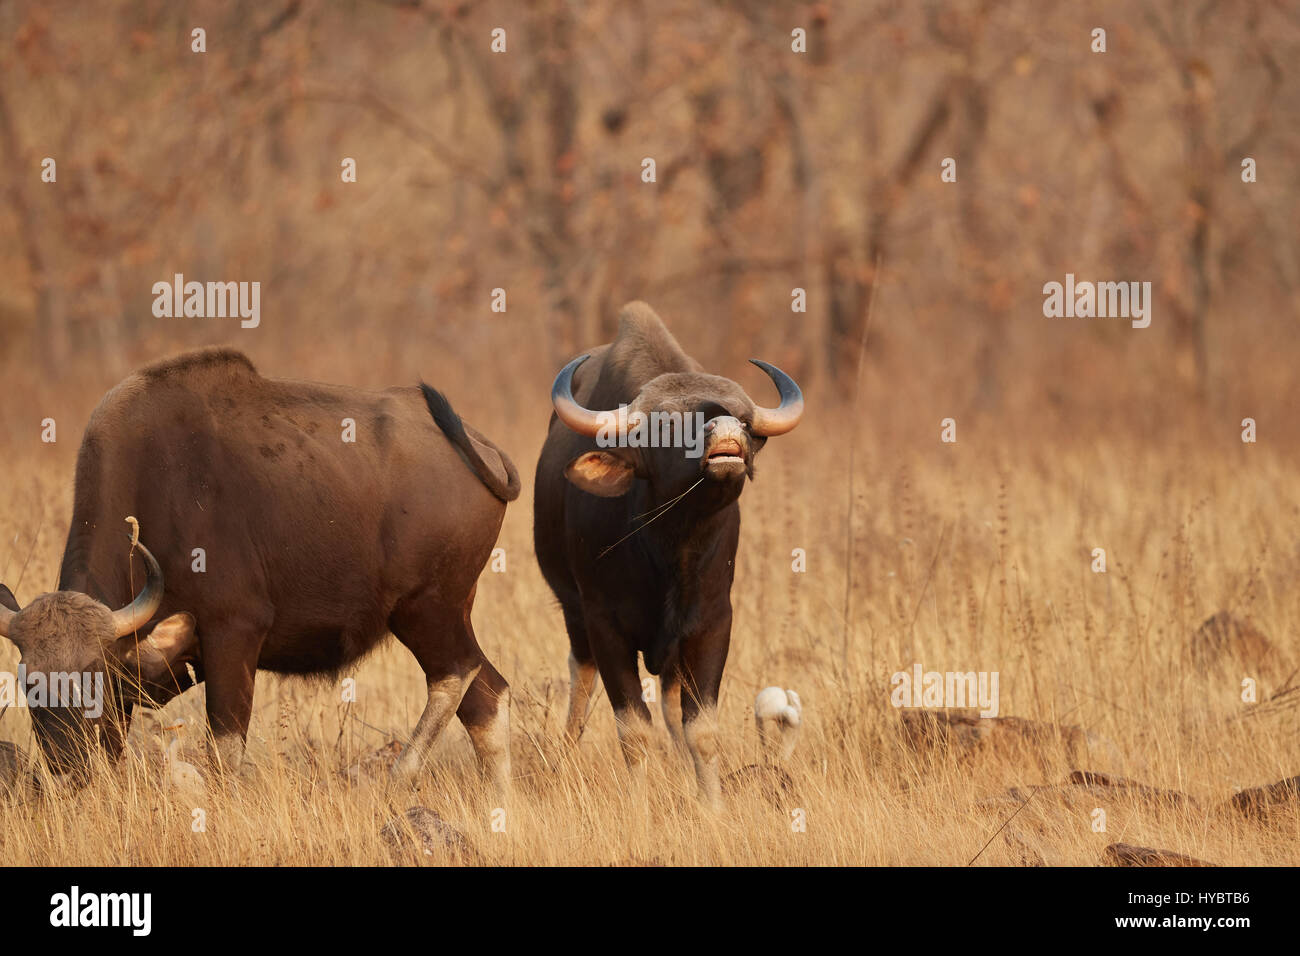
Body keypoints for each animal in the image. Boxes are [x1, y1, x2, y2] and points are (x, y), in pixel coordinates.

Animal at [0, 348, 516, 791]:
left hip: (426, 609)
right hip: (449, 613)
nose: (68, 767)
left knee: (455, 676)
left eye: (95, 679)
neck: (156, 486)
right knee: (487, 695)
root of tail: (479, 448)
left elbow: (224, 753)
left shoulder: (234, 634)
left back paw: (399, 776)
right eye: (30, 684)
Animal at [534, 301, 803, 805]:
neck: (668, 551)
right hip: (574, 615)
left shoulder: (712, 622)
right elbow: (633, 730)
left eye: (744, 420)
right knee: (581, 679)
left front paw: (711, 804)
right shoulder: (604, 624)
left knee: (672, 704)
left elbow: (701, 729)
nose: (727, 432)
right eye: (666, 426)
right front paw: (638, 806)